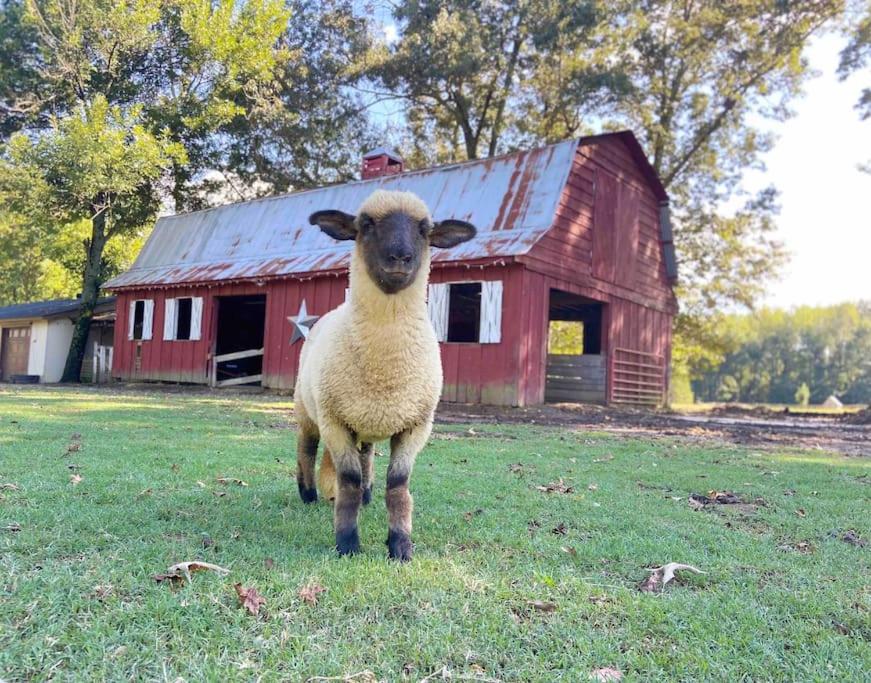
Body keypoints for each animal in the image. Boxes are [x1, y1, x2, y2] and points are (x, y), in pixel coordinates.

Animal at [294, 190, 476, 561]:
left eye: (425, 229)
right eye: (366, 224)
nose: (400, 257)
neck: (386, 368)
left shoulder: (417, 425)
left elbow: (398, 485)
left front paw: (401, 545)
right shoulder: (335, 420)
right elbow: (347, 480)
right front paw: (348, 543)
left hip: (364, 422)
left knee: (365, 458)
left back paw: (366, 496)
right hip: (307, 410)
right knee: (306, 448)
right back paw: (308, 493)